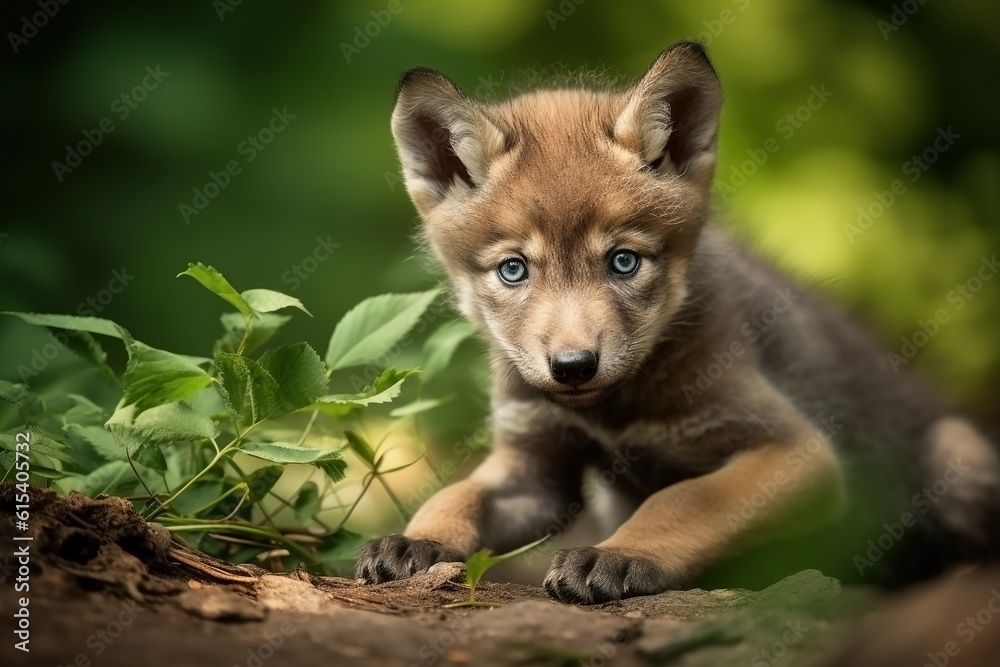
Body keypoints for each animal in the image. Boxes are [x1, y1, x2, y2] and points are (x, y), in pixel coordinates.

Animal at [356, 42, 1000, 603]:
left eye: (624, 261)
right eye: (513, 270)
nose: (573, 367)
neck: (613, 413)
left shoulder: (790, 448)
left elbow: (682, 501)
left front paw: (620, 554)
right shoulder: (533, 467)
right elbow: (458, 496)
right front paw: (416, 538)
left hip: (958, 453)